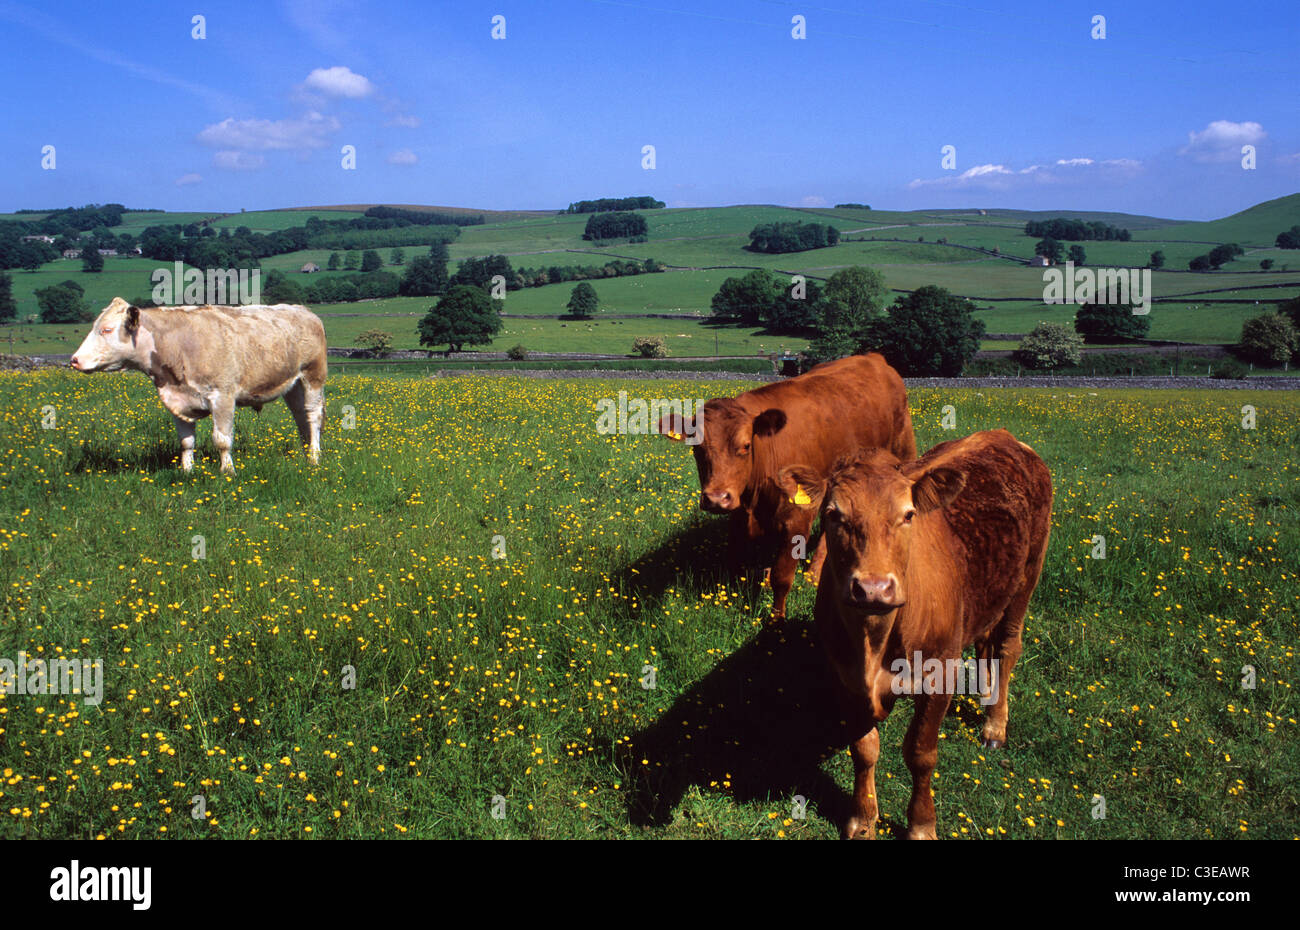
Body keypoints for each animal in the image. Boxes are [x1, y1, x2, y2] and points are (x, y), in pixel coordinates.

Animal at [70, 298, 328, 474]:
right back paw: (305, 453)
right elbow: (186, 442)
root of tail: (302, 309)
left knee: (312, 416)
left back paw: (315, 456)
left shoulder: (223, 396)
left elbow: (222, 440)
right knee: (300, 417)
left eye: (106, 330)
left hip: (313, 376)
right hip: (292, 385)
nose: (74, 359)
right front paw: (187, 471)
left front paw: (227, 471)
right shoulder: (176, 401)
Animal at [657, 353, 915, 619]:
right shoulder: (740, 516)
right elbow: (739, 564)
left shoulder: (797, 519)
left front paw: (776, 618)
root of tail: (873, 357)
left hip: (903, 448)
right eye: (696, 448)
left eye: (746, 445)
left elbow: (781, 578)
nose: (717, 498)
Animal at [777, 428, 1052, 839]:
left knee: (1007, 646)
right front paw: (863, 819)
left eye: (908, 515)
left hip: (1027, 577)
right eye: (833, 514)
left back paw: (995, 724)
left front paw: (922, 824)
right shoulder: (844, 678)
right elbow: (864, 749)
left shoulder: (940, 676)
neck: (874, 644)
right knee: (985, 642)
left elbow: (921, 754)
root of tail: (1004, 437)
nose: (873, 588)